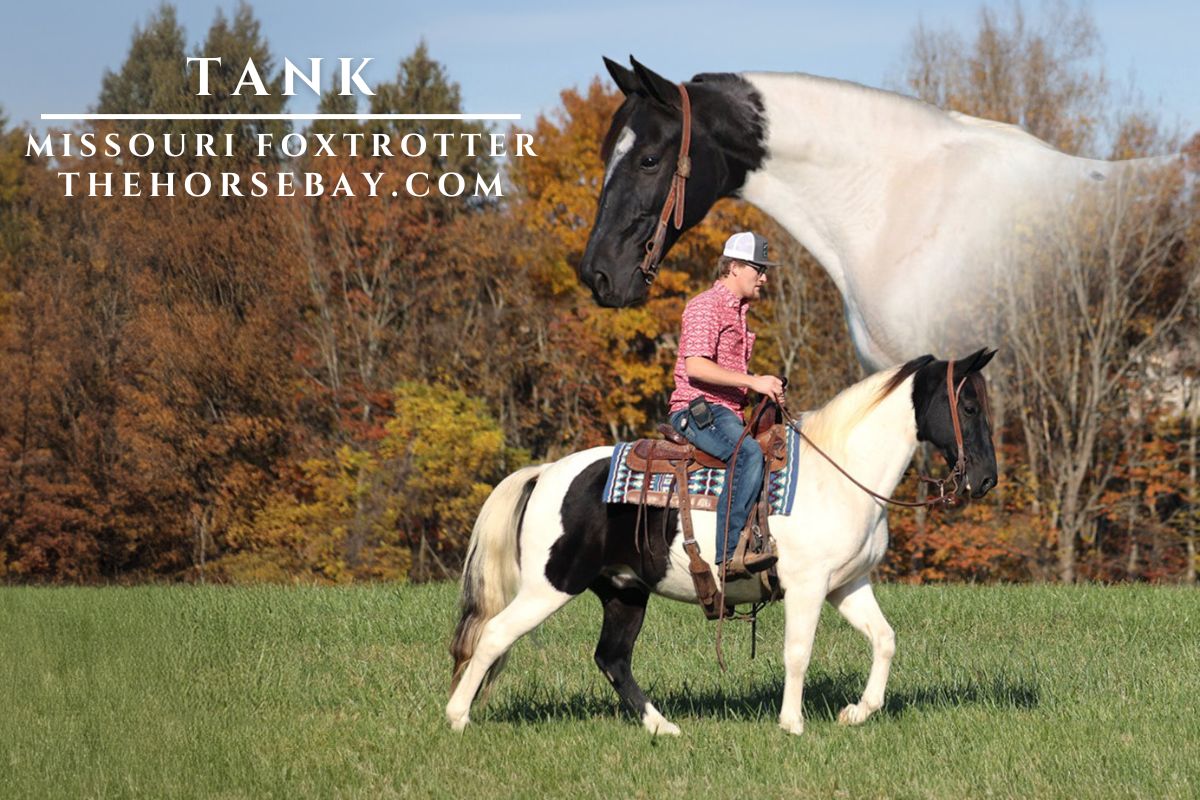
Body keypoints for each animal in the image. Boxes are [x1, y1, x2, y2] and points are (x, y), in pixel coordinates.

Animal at [446, 348, 998, 735]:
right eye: (969, 405)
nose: (987, 479)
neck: (839, 473)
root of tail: (545, 473)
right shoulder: (807, 586)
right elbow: (798, 651)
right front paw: (792, 723)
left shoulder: (847, 584)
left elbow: (884, 639)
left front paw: (856, 712)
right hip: (550, 586)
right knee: (495, 634)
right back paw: (457, 717)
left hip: (624, 591)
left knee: (612, 659)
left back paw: (662, 726)